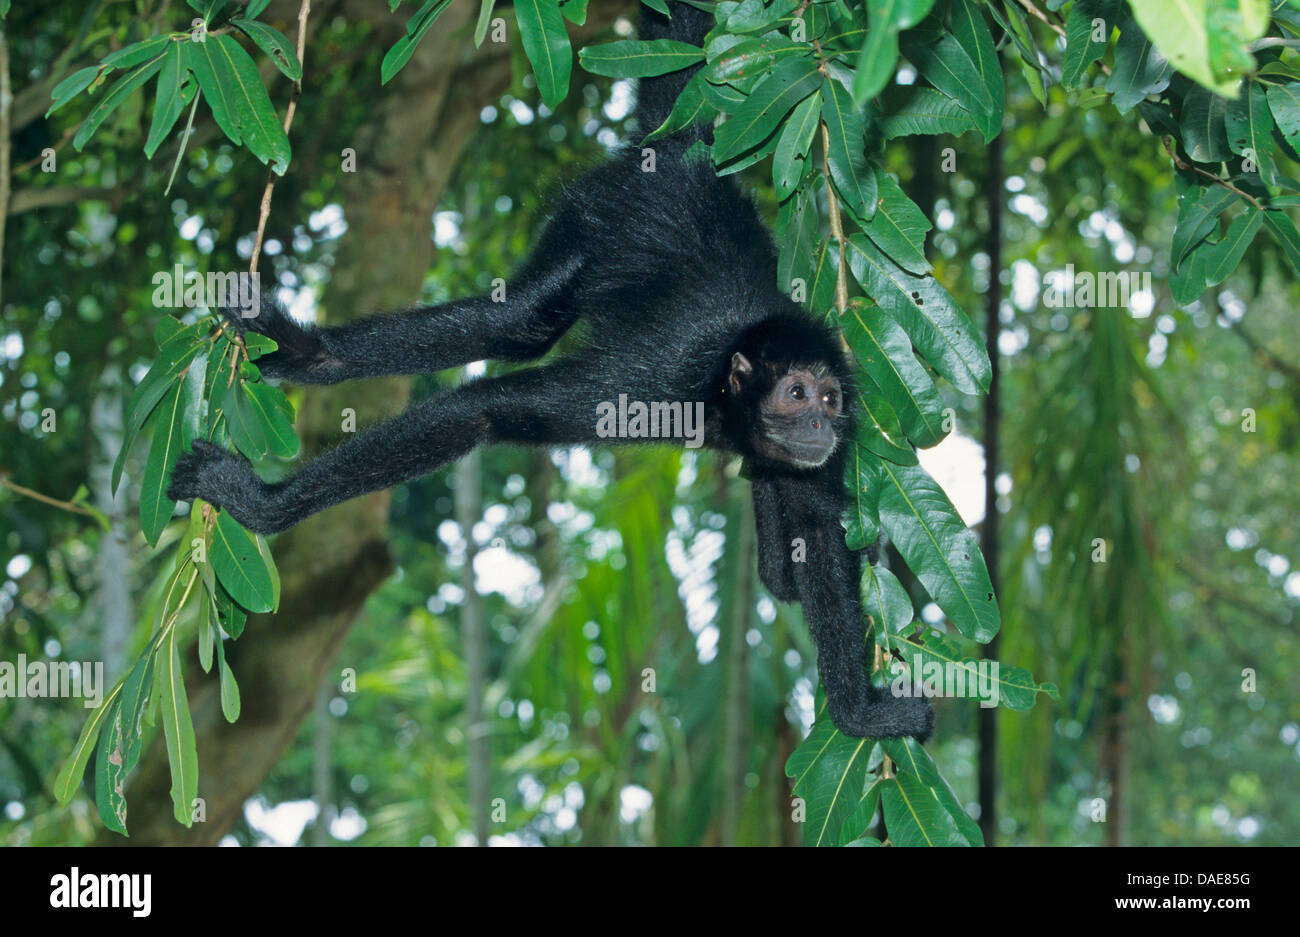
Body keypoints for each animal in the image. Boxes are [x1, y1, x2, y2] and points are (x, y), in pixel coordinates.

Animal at [168, 1, 933, 741]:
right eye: (796, 392)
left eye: (831, 399)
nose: (817, 425)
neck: (725, 393)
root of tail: (680, 157)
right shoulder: (656, 386)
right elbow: (480, 409)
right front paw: (261, 505)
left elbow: (818, 527)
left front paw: (858, 709)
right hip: (598, 211)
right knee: (515, 326)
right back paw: (313, 355)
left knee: (523, 324)